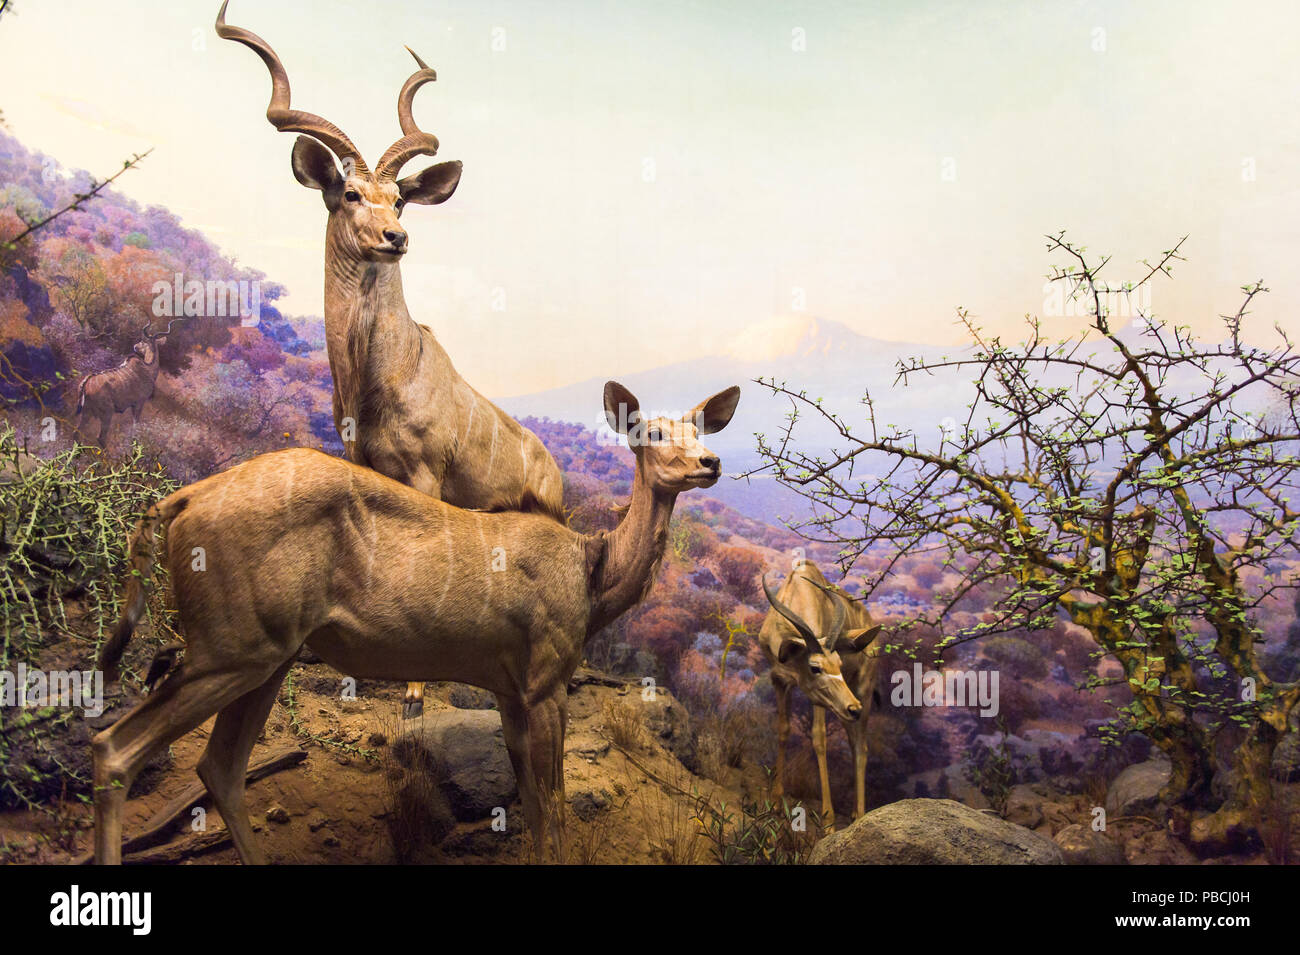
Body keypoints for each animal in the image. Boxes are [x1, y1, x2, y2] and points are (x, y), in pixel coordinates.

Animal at [74, 318, 183, 448]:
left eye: (143, 341)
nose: (135, 346)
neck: (147, 368)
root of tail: (85, 384)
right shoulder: (139, 403)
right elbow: (136, 425)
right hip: (107, 413)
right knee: (100, 437)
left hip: (87, 412)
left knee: (77, 431)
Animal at [92, 381, 740, 863]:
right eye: (651, 432)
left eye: (700, 429)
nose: (710, 463)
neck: (592, 575)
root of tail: (177, 502)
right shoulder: (546, 679)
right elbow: (554, 809)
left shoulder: (510, 689)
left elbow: (533, 808)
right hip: (233, 645)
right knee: (115, 747)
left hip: (267, 653)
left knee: (218, 767)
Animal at [216, 2, 566, 717]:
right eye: (349, 194)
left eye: (399, 199)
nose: (394, 237)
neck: (378, 381)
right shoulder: (362, 465)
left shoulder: (426, 477)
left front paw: (412, 691)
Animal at [759, 562, 884, 831]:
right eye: (815, 667)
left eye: (839, 663)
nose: (854, 708)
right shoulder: (779, 680)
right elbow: (783, 730)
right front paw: (775, 803)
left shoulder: (818, 699)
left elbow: (819, 739)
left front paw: (828, 822)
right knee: (853, 741)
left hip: (862, 691)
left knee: (861, 746)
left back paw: (860, 815)